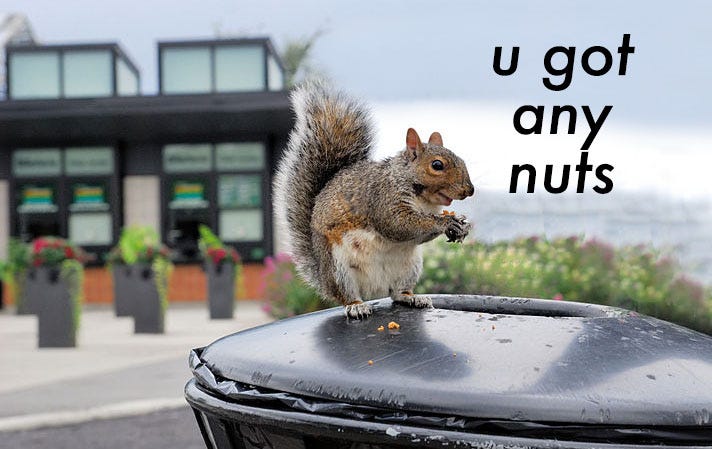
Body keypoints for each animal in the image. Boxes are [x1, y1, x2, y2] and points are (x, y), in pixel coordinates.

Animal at [273, 82, 474, 319]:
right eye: (437, 165)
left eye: (461, 159)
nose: (470, 190)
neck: (422, 199)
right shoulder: (383, 198)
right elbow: (397, 224)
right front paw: (445, 222)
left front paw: (462, 225)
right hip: (338, 269)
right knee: (347, 295)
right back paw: (356, 306)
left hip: (410, 267)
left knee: (397, 293)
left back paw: (413, 297)